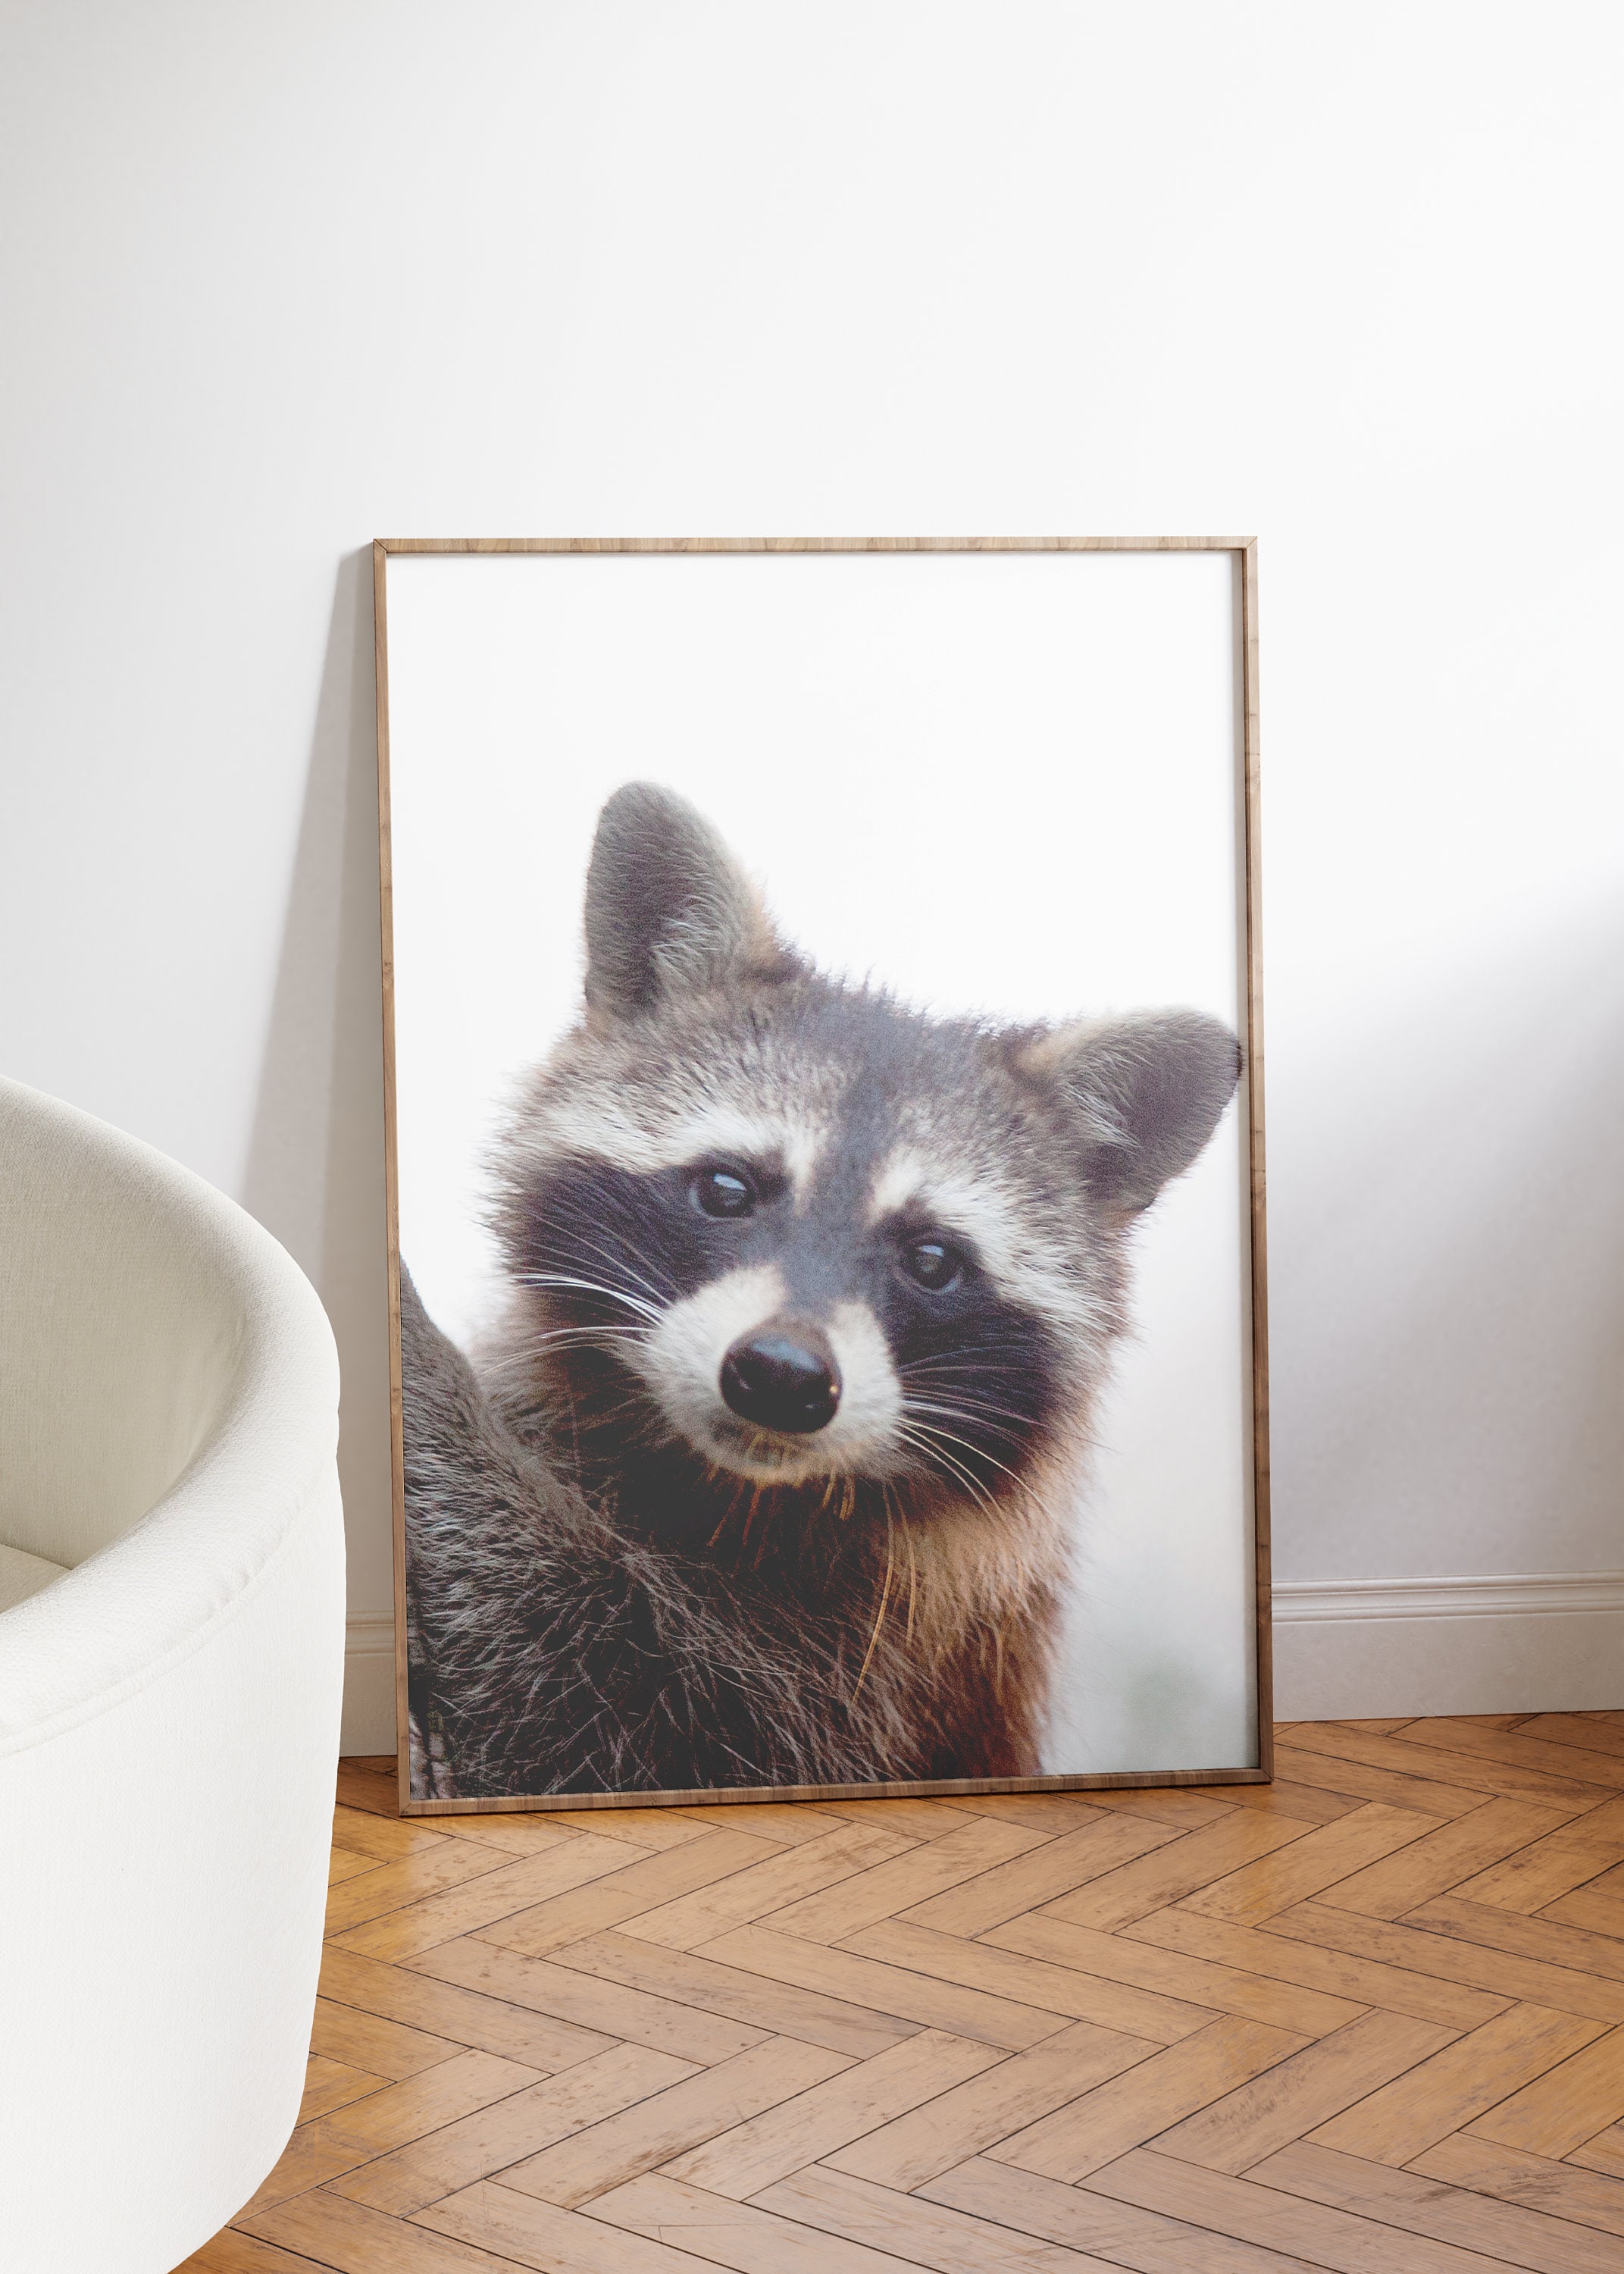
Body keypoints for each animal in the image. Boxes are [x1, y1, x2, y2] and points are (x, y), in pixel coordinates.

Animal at [401, 782, 1241, 1800]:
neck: (723, 1483)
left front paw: (423, 1379)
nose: (781, 1375)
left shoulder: (894, 1669)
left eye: (931, 1260)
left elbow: (594, 1694)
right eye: (727, 1189)